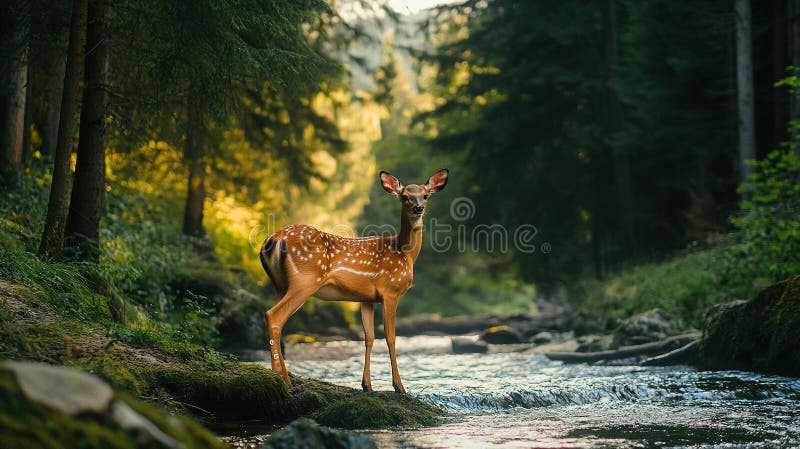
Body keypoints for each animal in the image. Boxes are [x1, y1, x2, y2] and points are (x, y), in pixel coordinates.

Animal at [259, 169, 449, 394]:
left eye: (425, 195)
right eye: (404, 196)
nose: (418, 208)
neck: (405, 254)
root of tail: (274, 239)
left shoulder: (367, 298)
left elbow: (369, 337)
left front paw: (367, 385)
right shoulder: (391, 291)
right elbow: (391, 337)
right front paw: (399, 386)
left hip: (280, 284)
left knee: (276, 319)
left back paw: (282, 377)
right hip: (304, 281)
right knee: (273, 315)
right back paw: (284, 380)